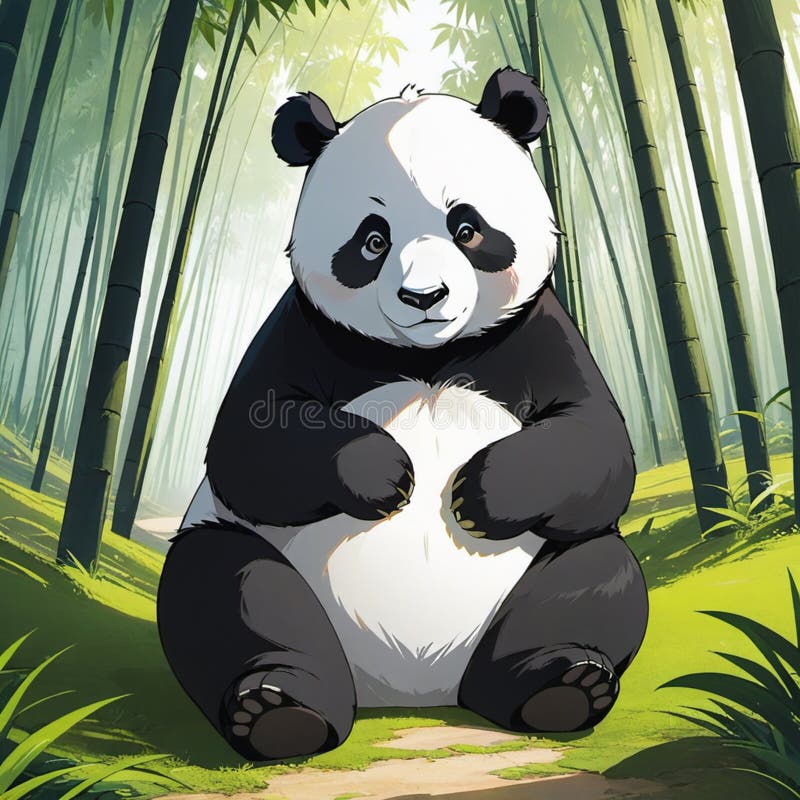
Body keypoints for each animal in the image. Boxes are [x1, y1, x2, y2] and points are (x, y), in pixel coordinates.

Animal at [157, 68, 648, 763]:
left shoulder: (541, 329)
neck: (430, 356)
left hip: (539, 584)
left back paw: (558, 687)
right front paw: (389, 475)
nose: (424, 297)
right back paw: (281, 710)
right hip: (256, 564)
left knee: (596, 576)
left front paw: (477, 494)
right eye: (372, 240)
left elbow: (596, 444)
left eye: (467, 228)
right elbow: (249, 443)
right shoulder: (298, 328)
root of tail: (408, 690)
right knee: (228, 590)